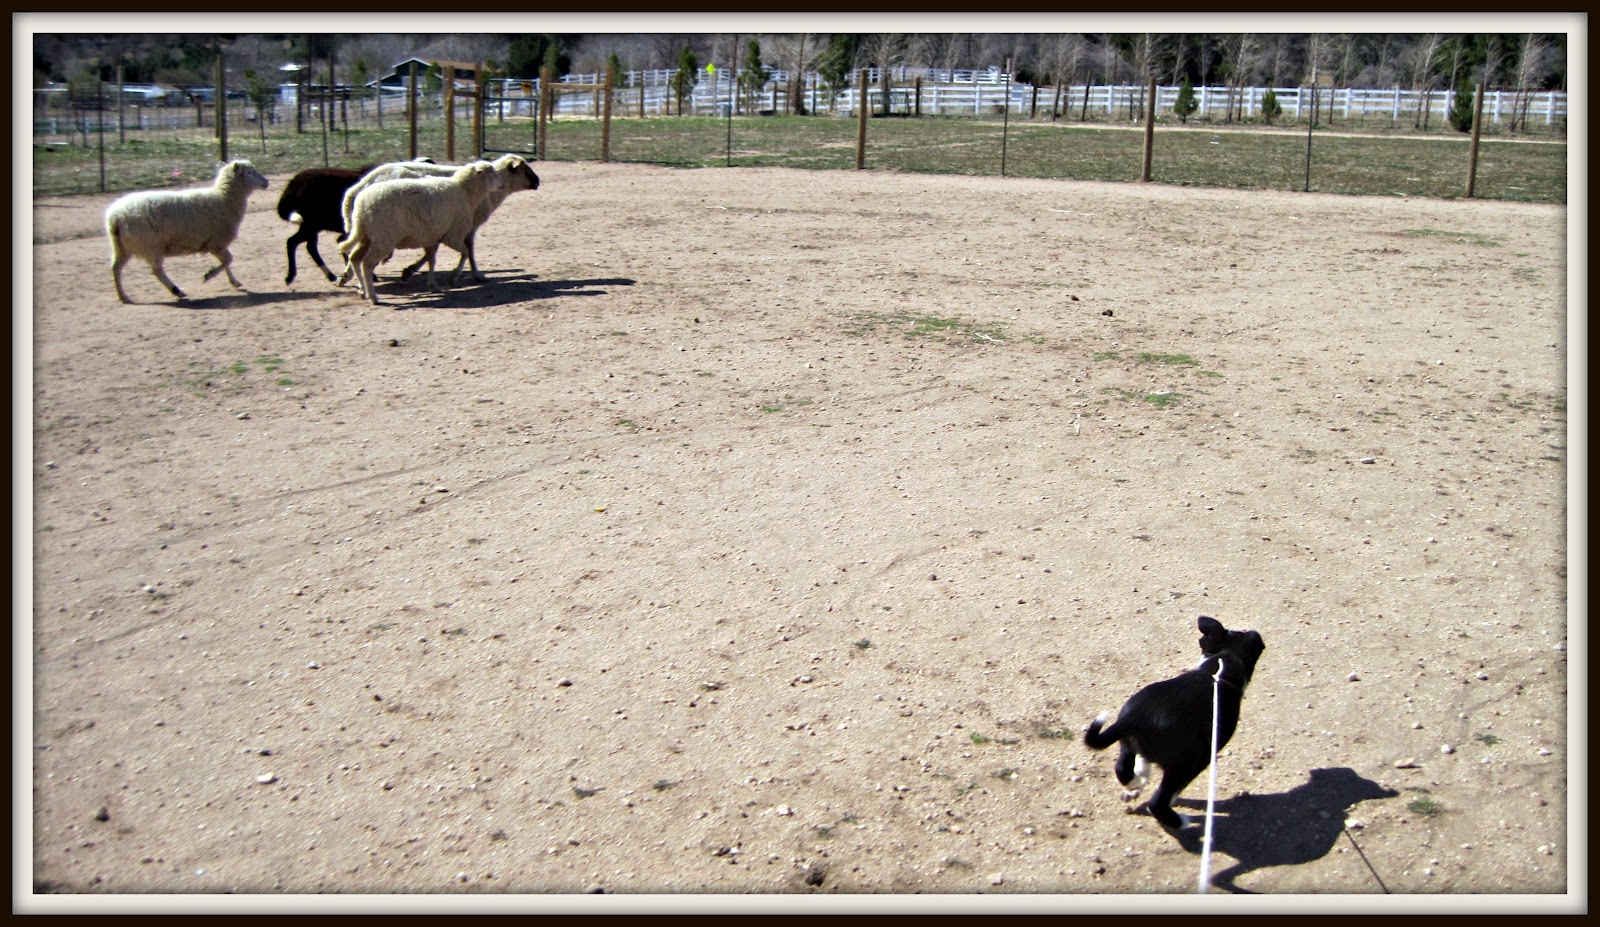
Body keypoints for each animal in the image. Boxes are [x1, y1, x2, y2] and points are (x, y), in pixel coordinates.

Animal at [105, 160, 270, 304]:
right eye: (249, 172)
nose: (267, 182)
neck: (223, 198)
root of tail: (115, 217)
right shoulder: (216, 242)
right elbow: (228, 260)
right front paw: (209, 275)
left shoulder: (214, 243)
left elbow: (226, 262)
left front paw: (234, 282)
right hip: (151, 244)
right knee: (157, 270)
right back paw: (176, 290)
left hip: (122, 246)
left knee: (116, 268)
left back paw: (123, 296)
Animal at [336, 154, 539, 288]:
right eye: (525, 169)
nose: (538, 181)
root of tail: (359, 187)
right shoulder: (464, 226)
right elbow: (469, 250)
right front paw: (474, 274)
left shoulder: (441, 226)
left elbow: (435, 250)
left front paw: (412, 270)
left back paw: (350, 277)